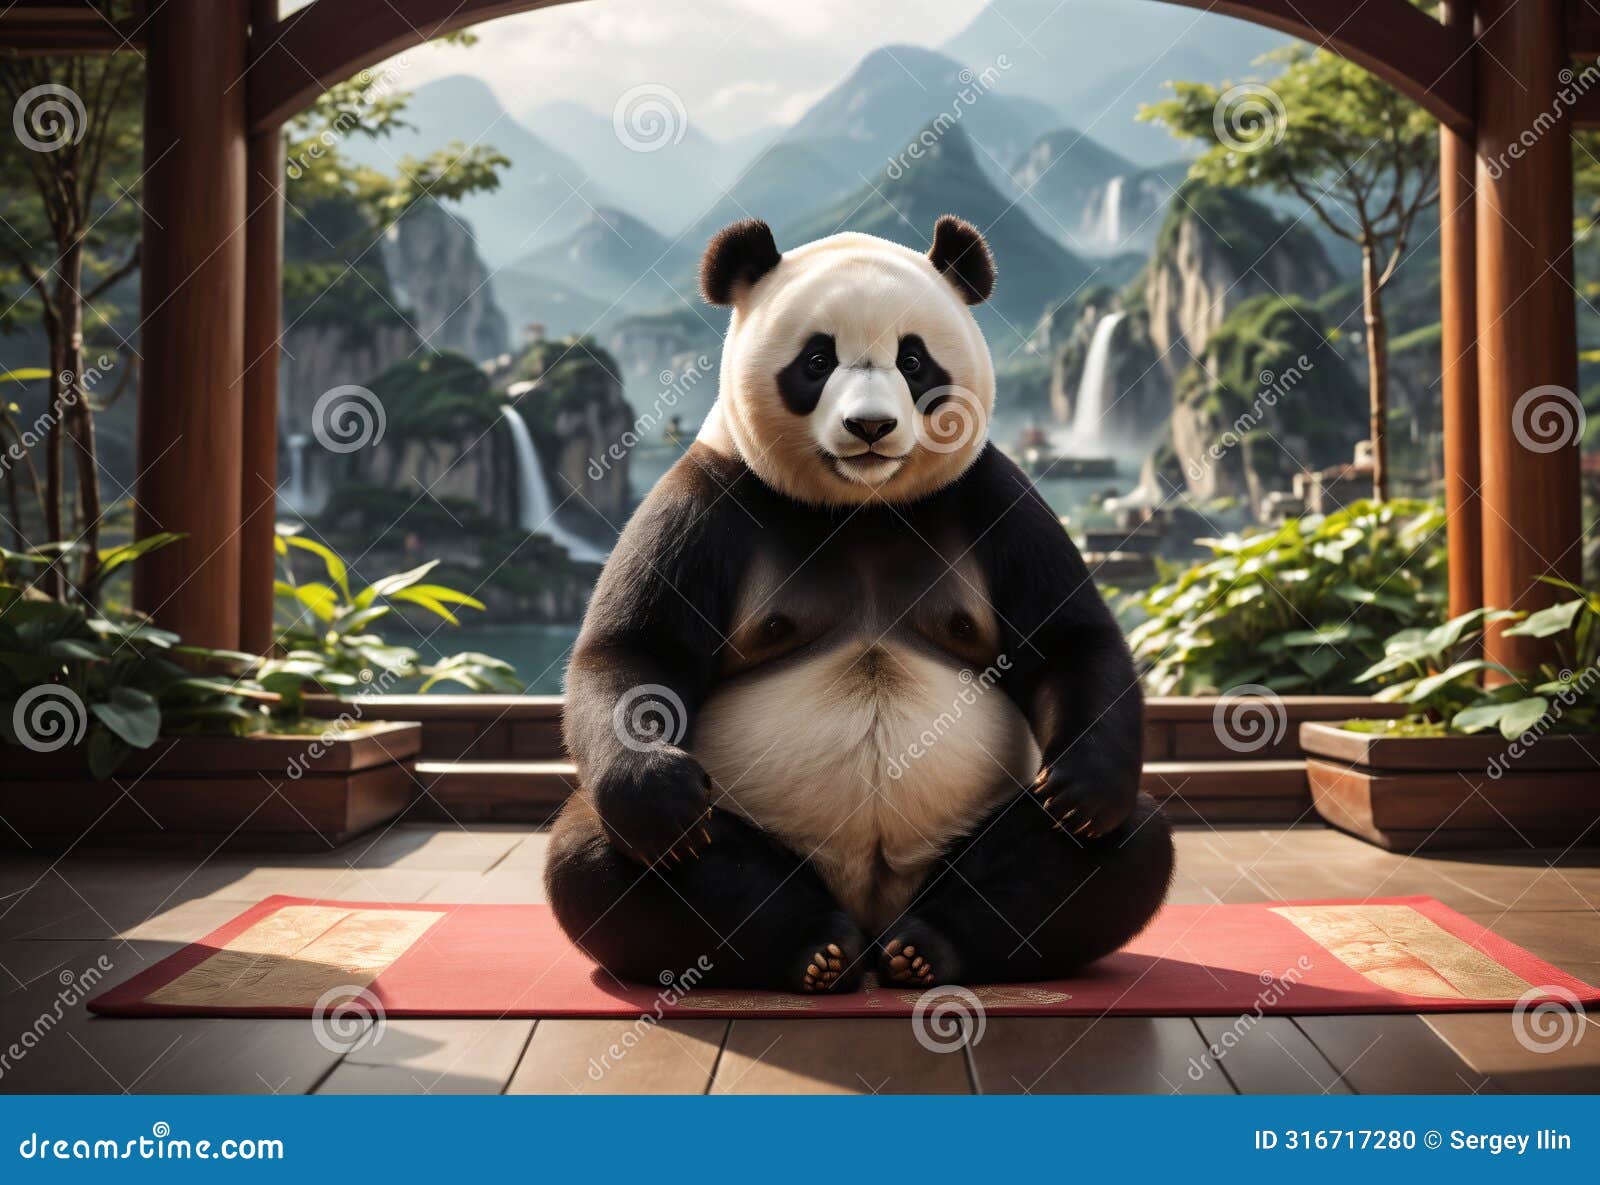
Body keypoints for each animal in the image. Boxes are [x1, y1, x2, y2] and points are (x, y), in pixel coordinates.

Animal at [546, 216, 1173, 993]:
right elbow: (637, 650)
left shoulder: (992, 497)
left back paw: (930, 946)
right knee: (598, 854)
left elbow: (1069, 640)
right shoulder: (709, 496)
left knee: (1125, 842)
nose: (870, 427)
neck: (862, 508)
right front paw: (661, 800)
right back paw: (813, 945)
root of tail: (872, 914)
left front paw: (1081, 792)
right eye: (817, 360)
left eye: (914, 360)